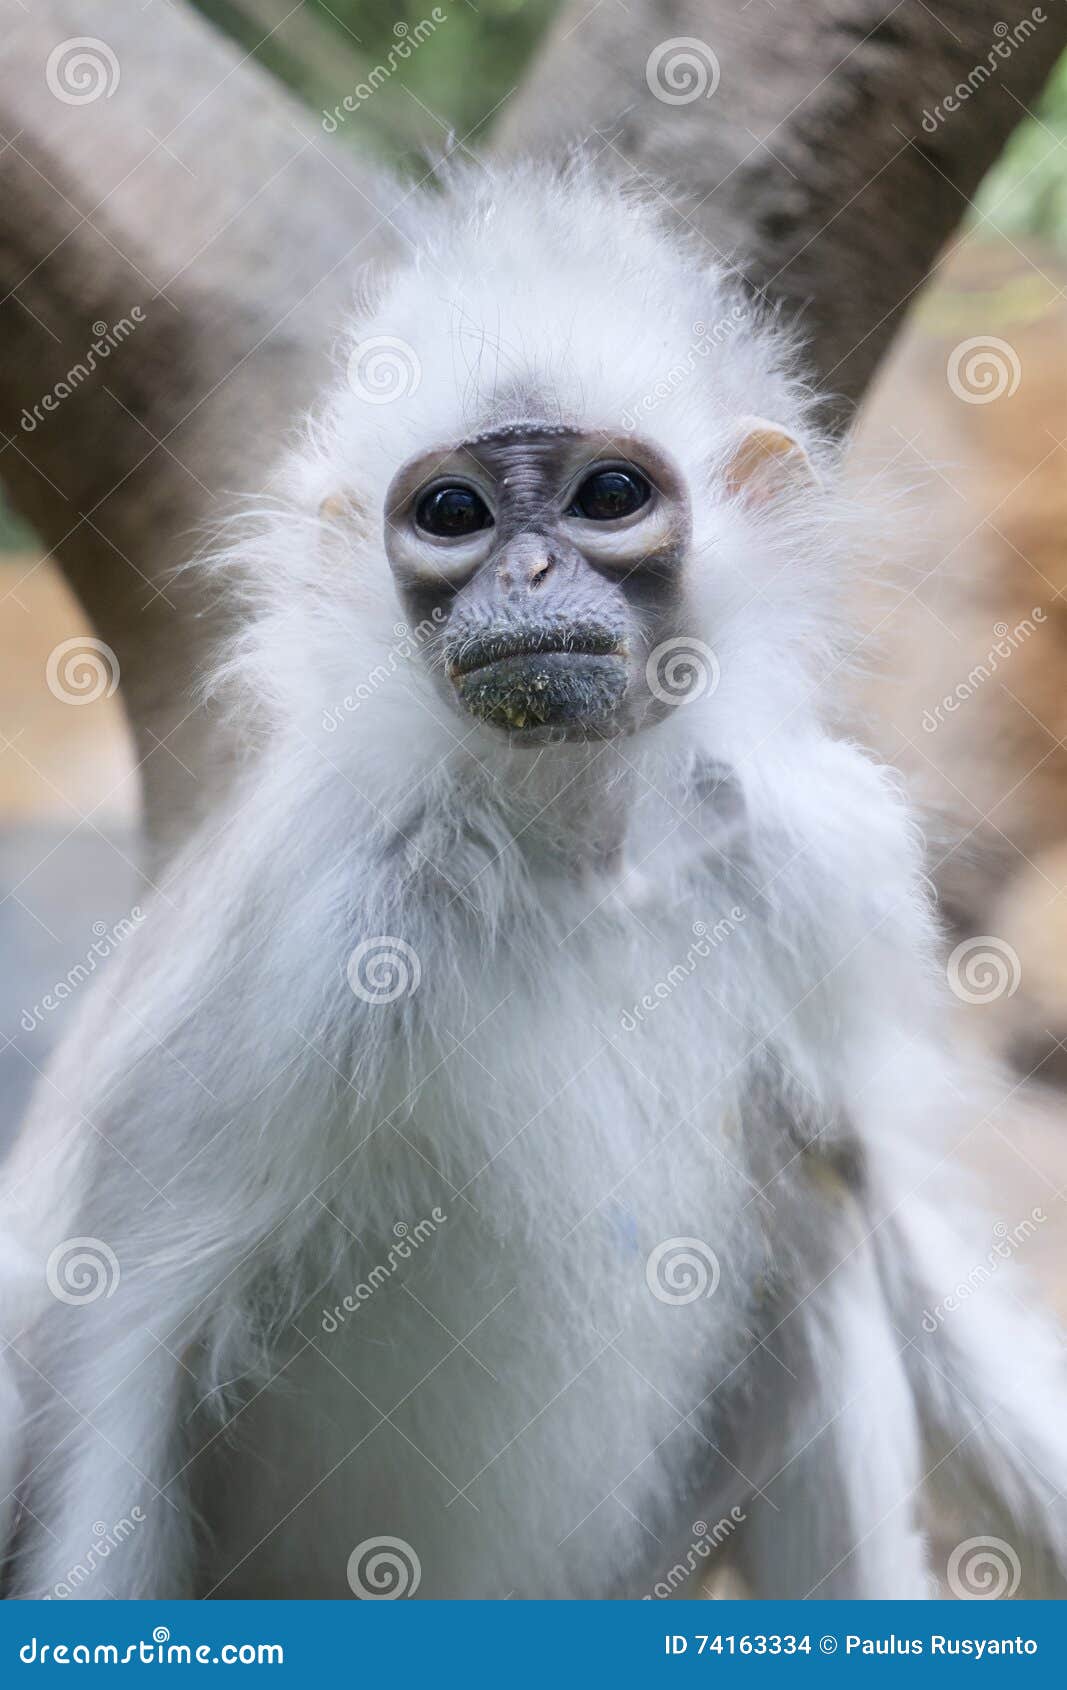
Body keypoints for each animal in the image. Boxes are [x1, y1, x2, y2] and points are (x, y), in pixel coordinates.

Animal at [1, 159, 1066, 1601]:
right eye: (452, 513)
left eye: (605, 496)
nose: (530, 569)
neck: (577, 855)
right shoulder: (320, 917)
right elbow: (121, 1337)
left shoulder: (808, 854)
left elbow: (885, 1204)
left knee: (818, 1206)